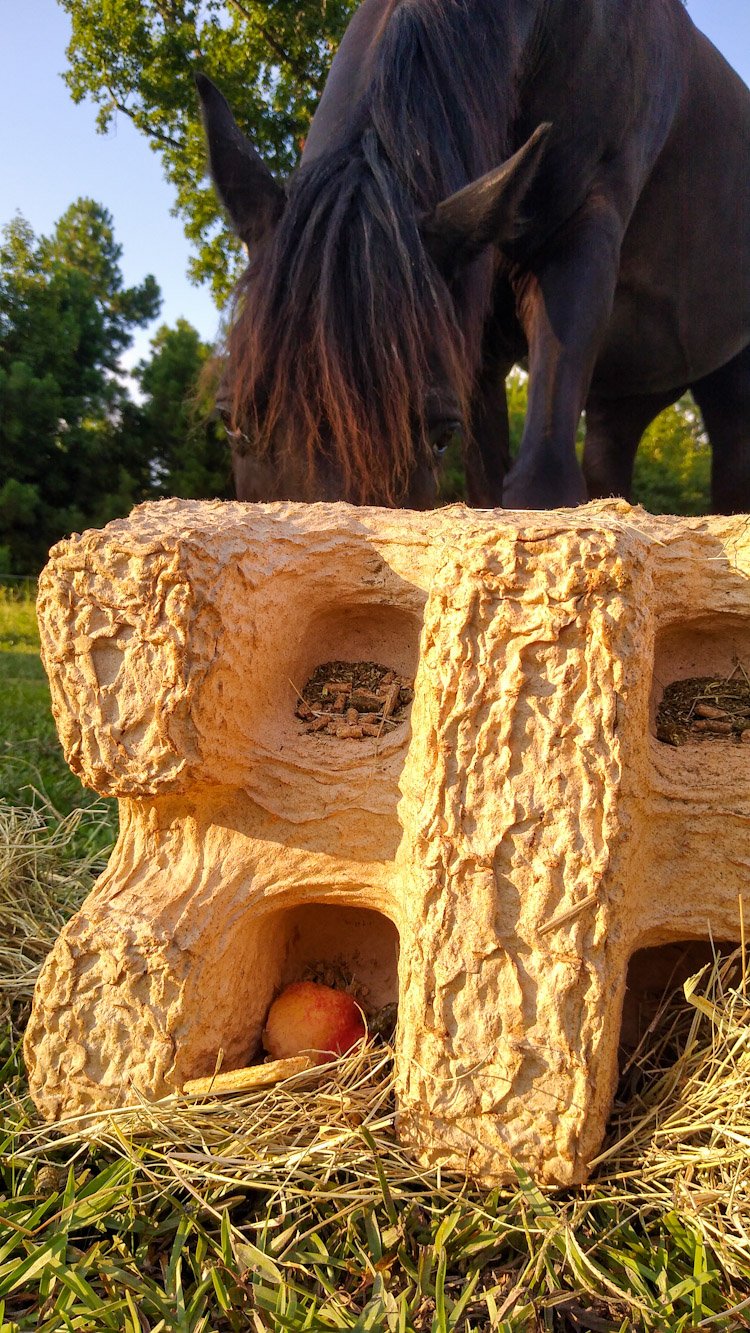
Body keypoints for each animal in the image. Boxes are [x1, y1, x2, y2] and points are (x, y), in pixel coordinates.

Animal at [197, 0, 750, 513]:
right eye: (230, 420)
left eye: (441, 432)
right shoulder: (478, 347)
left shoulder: (578, 246)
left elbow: (540, 484)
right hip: (625, 395)